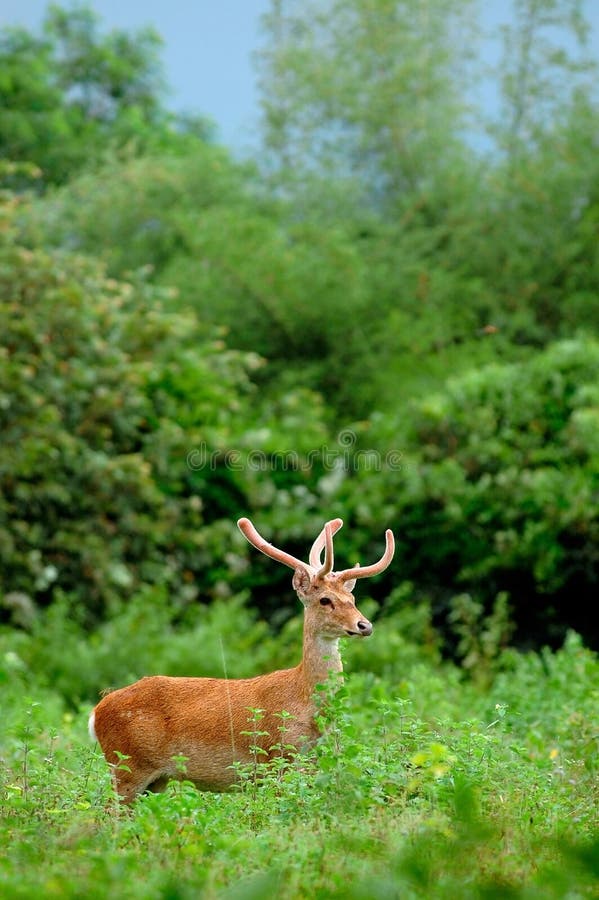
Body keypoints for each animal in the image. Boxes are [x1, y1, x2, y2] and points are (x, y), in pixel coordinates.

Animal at [89, 516, 394, 803]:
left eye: (352, 598)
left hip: (155, 780)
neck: (304, 698)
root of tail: (96, 713)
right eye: (325, 600)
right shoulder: (278, 755)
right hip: (127, 766)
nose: (364, 625)